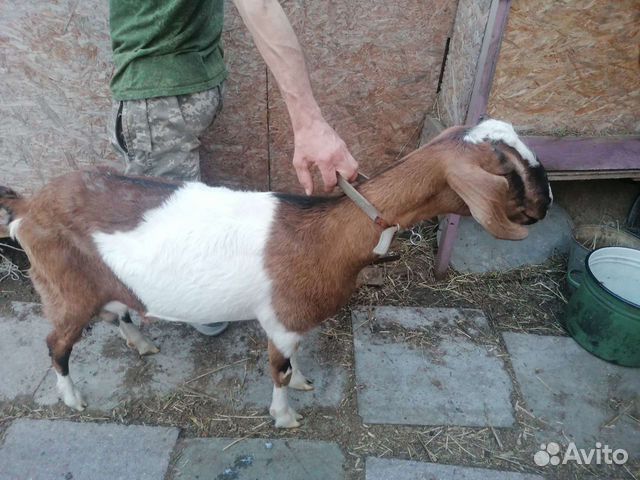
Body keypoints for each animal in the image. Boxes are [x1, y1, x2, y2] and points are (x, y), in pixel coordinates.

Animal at [0, 119, 551, 428]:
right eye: (508, 170)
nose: (547, 203)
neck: (330, 233)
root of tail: (28, 205)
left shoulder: (294, 322)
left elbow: (296, 360)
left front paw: (305, 383)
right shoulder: (281, 319)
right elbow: (278, 370)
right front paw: (285, 417)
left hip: (97, 283)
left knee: (117, 312)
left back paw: (141, 345)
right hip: (64, 289)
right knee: (56, 344)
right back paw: (73, 399)